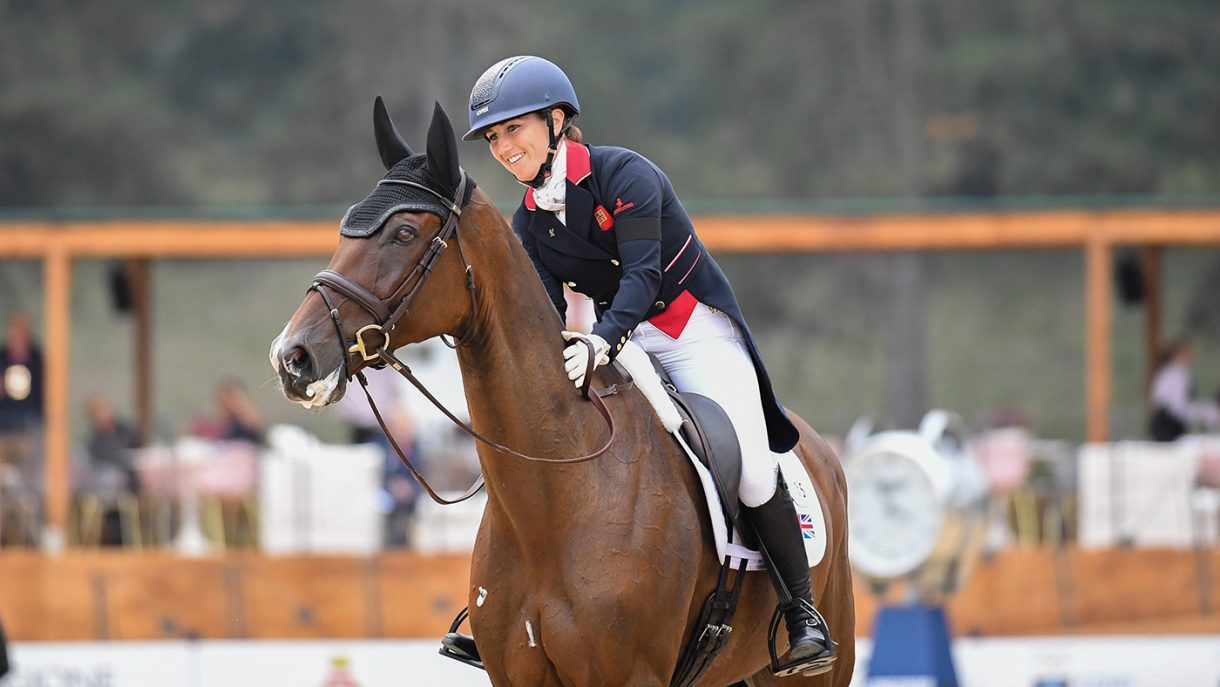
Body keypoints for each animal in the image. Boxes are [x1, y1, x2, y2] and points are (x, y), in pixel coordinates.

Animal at [270, 99, 855, 687]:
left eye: (405, 234)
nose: (292, 358)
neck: (553, 496)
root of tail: (823, 451)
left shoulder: (631, 674)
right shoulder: (516, 674)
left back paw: (807, 634)